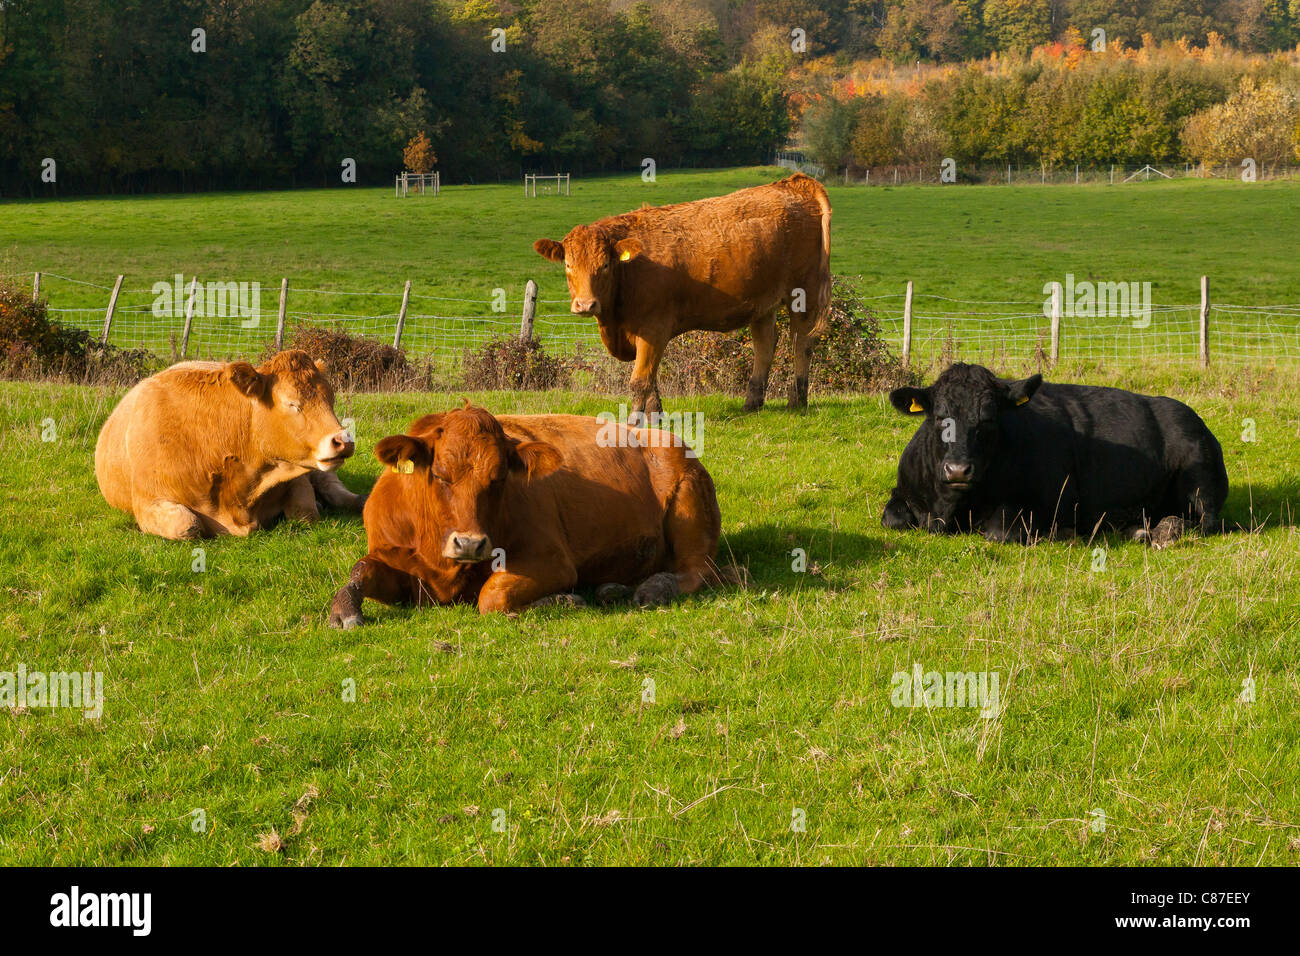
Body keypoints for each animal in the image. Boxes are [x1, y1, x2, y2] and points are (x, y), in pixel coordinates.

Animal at [95, 349, 363, 539]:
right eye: (292, 404)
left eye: (330, 399)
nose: (344, 441)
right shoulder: (147, 502)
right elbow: (187, 525)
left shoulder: (295, 473)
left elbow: (305, 512)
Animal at [327, 403, 732, 625]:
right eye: (440, 475)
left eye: (499, 478)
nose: (470, 544)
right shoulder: (401, 566)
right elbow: (361, 570)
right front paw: (343, 610)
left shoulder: (552, 561)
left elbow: (492, 596)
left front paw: (565, 600)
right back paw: (614, 588)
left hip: (689, 509)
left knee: (699, 571)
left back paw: (653, 588)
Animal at [532, 173, 832, 417]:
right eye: (568, 265)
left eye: (605, 264)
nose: (585, 304)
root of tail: (795, 183)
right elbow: (651, 380)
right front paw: (656, 415)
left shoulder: (653, 329)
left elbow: (640, 381)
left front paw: (634, 422)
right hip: (762, 302)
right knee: (765, 346)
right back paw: (752, 403)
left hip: (803, 292)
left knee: (801, 342)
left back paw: (797, 401)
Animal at [881, 363, 1228, 546]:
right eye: (939, 416)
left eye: (989, 418)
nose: (957, 470)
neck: (950, 509)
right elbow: (893, 519)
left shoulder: (1050, 501)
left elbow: (999, 531)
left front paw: (1060, 532)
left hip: (1201, 484)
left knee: (1204, 521)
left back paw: (1165, 530)